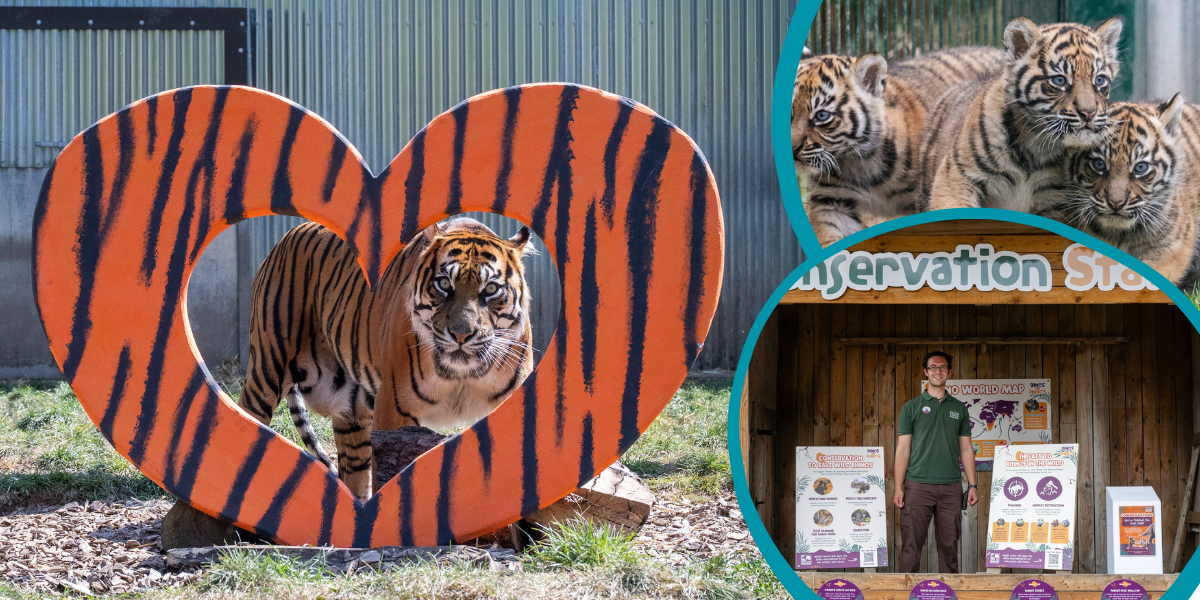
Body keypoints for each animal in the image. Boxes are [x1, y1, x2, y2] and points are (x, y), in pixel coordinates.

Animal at [238, 217, 536, 501]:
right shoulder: (395, 409)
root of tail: (289, 234)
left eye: (491, 289)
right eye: (443, 284)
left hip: (352, 413)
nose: (461, 334)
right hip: (265, 374)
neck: (462, 374)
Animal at [921, 17, 1124, 213]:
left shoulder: (1054, 200)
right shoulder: (957, 180)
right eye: (1059, 80)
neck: (1036, 146)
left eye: (1099, 80)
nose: (1088, 113)